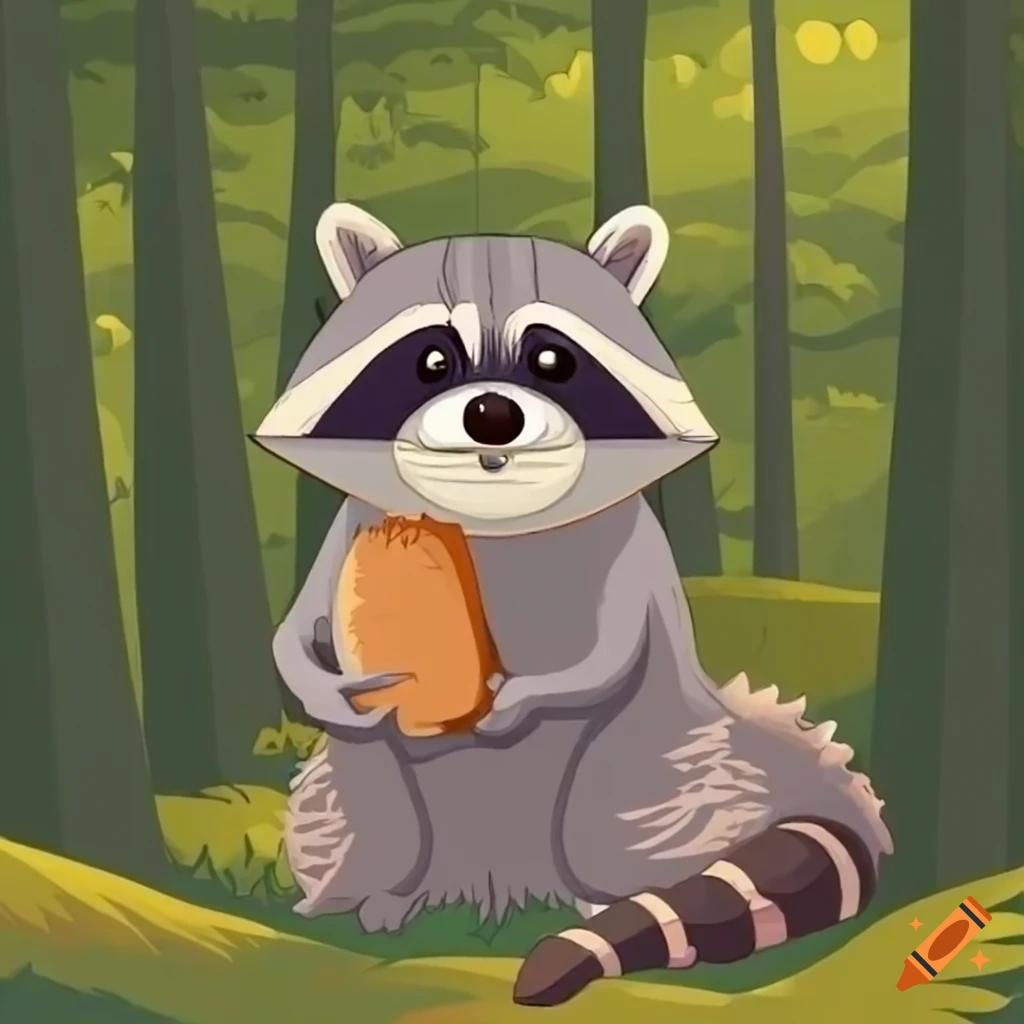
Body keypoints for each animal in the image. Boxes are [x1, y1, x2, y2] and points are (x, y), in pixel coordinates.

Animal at [254, 202, 893, 1006]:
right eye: (432, 361)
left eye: (552, 361)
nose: (492, 414)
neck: (490, 516)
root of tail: (498, 872)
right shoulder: (351, 530)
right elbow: (298, 631)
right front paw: (321, 685)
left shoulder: (626, 543)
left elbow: (610, 652)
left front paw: (522, 697)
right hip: (362, 796)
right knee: (376, 819)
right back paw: (376, 893)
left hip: (651, 765)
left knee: (616, 822)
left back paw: (607, 892)